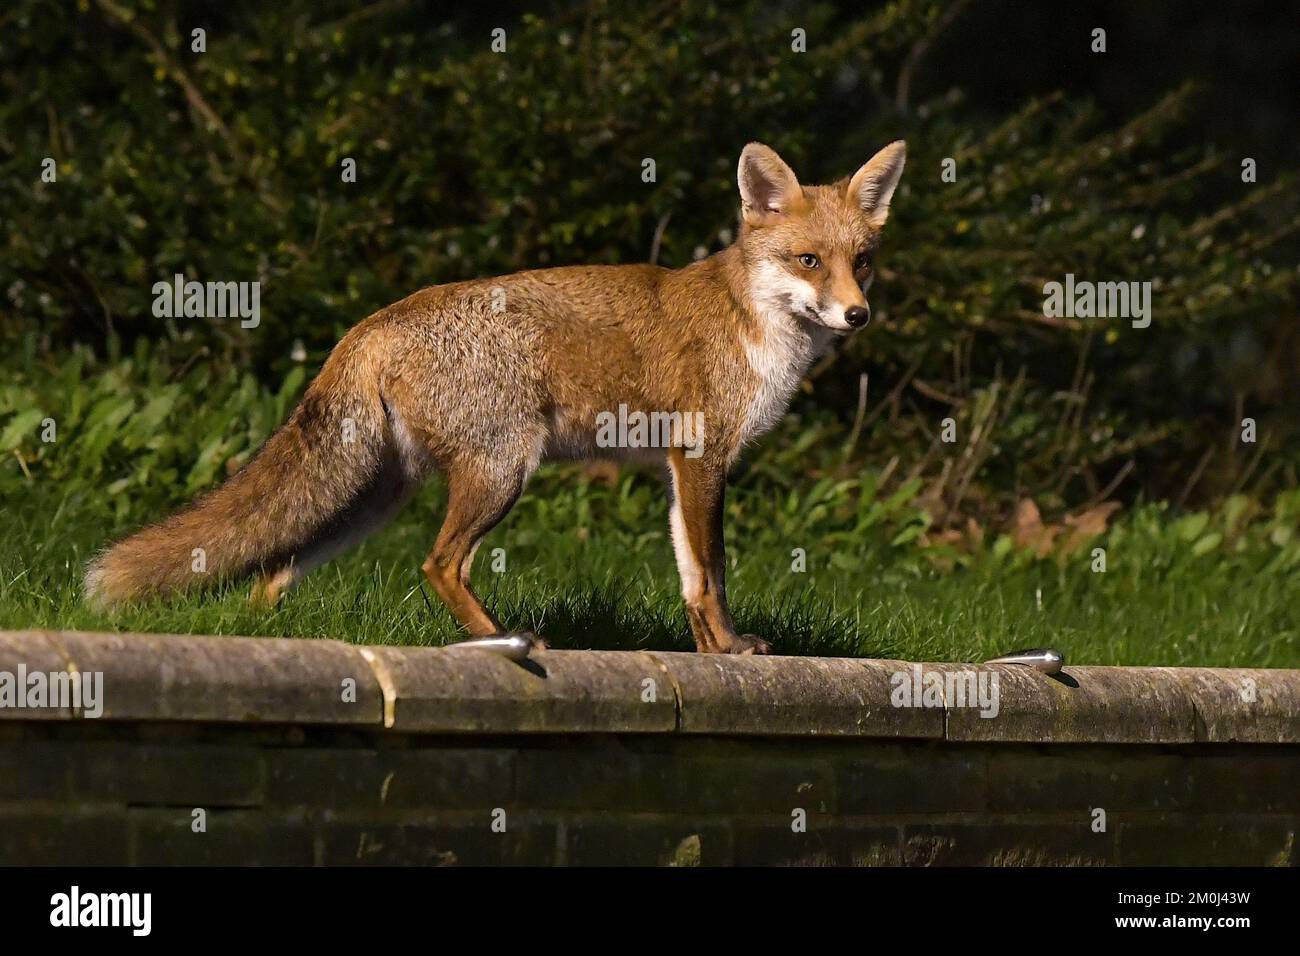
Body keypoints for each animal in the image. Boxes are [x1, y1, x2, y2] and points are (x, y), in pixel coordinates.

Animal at [85, 140, 907, 655]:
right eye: (809, 261)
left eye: (863, 261)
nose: (857, 315)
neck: (751, 322)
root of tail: (372, 322)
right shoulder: (703, 456)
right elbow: (714, 574)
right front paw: (734, 653)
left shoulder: (679, 469)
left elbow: (690, 579)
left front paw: (713, 656)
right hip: (502, 469)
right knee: (439, 565)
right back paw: (500, 639)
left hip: (378, 495)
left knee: (277, 569)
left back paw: (269, 639)